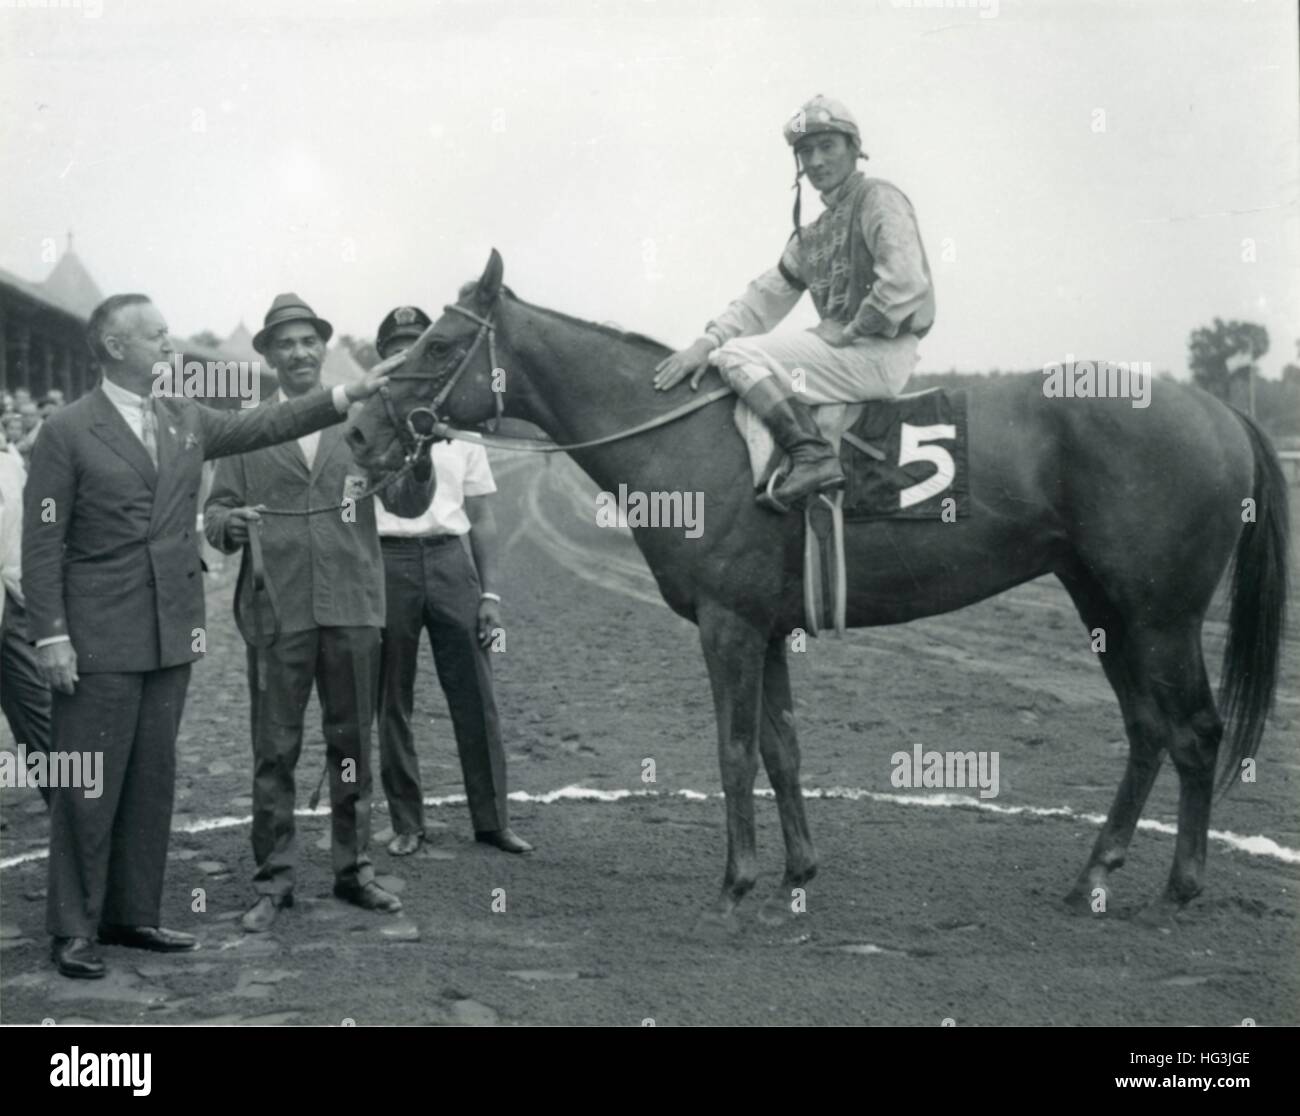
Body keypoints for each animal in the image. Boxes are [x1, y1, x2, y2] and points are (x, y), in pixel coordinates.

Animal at [347, 249, 1289, 928]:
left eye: (437, 346)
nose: (356, 429)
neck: (686, 441)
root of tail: (1219, 410)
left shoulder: (726, 625)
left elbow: (732, 752)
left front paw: (734, 885)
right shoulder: (766, 627)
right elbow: (781, 750)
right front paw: (795, 873)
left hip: (1162, 615)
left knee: (1195, 733)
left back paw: (1177, 892)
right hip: (1104, 604)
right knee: (1147, 730)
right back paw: (1094, 873)